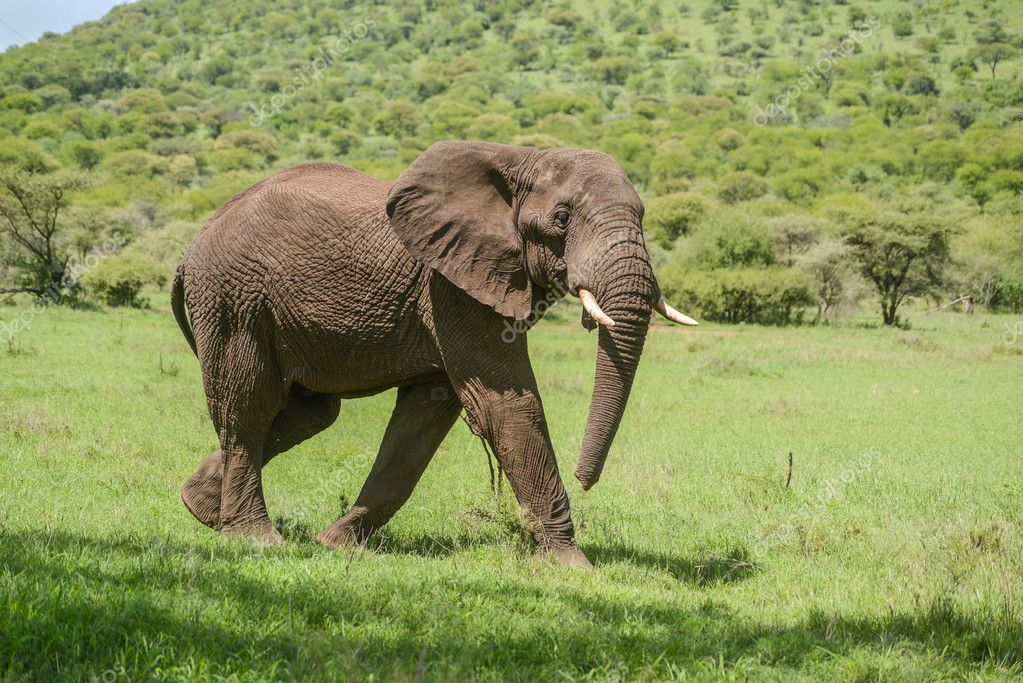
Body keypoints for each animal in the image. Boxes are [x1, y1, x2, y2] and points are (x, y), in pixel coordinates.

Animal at [171, 141, 696, 568]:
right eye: (562, 218)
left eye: (643, 215)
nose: (585, 478)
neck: (522, 159)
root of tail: (192, 246)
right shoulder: (450, 285)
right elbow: (505, 404)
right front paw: (573, 566)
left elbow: (423, 419)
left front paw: (336, 544)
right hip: (234, 299)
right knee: (250, 409)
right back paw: (254, 538)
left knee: (307, 412)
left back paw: (201, 508)